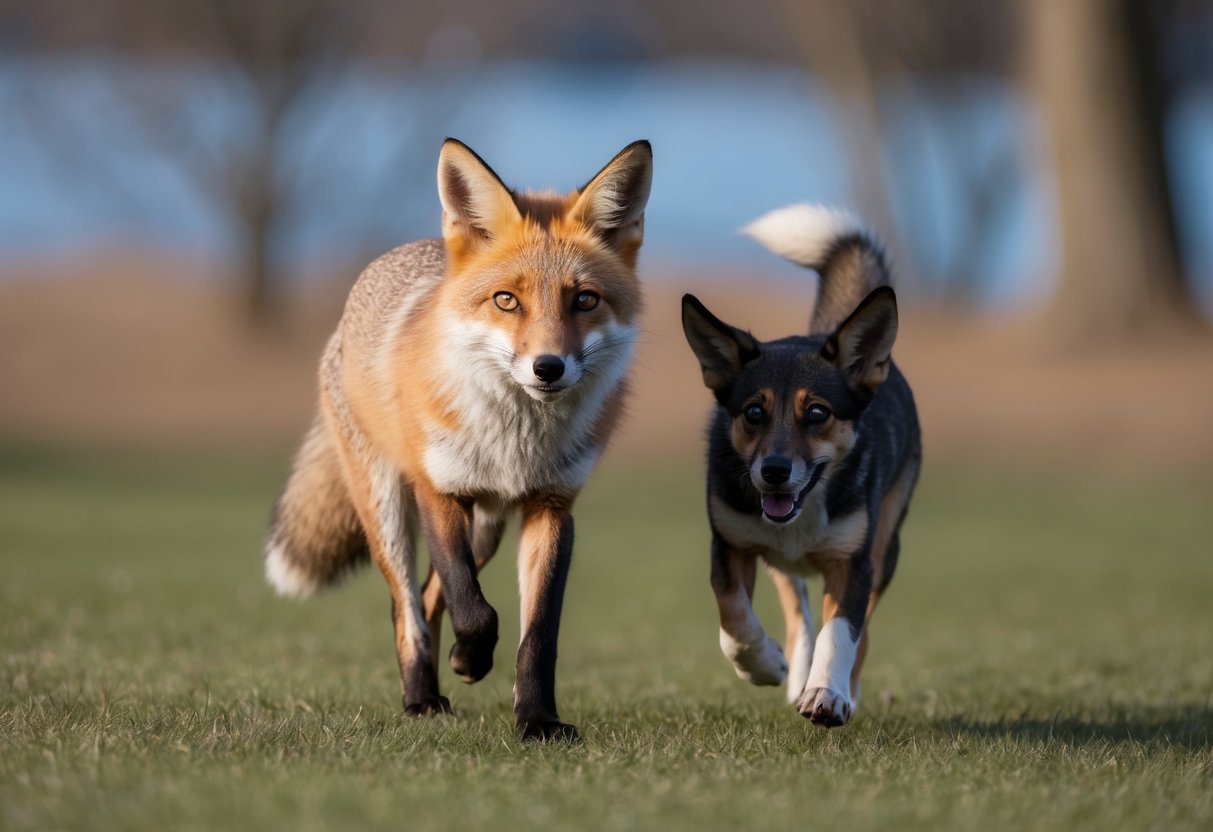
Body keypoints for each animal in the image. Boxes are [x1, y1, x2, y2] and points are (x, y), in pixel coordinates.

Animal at [265, 138, 653, 742]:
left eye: (585, 301)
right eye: (507, 300)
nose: (548, 367)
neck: (515, 442)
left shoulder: (552, 506)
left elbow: (537, 636)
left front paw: (536, 720)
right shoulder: (440, 491)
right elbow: (474, 607)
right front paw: (471, 659)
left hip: (488, 526)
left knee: (428, 597)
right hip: (388, 508)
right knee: (407, 605)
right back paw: (421, 697)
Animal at [681, 205, 920, 728]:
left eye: (816, 413)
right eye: (754, 412)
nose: (773, 471)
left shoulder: (854, 562)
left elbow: (843, 633)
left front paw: (828, 695)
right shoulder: (729, 544)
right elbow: (735, 619)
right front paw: (767, 664)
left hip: (885, 547)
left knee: (858, 630)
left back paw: (842, 691)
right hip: (779, 561)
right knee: (798, 608)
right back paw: (794, 674)